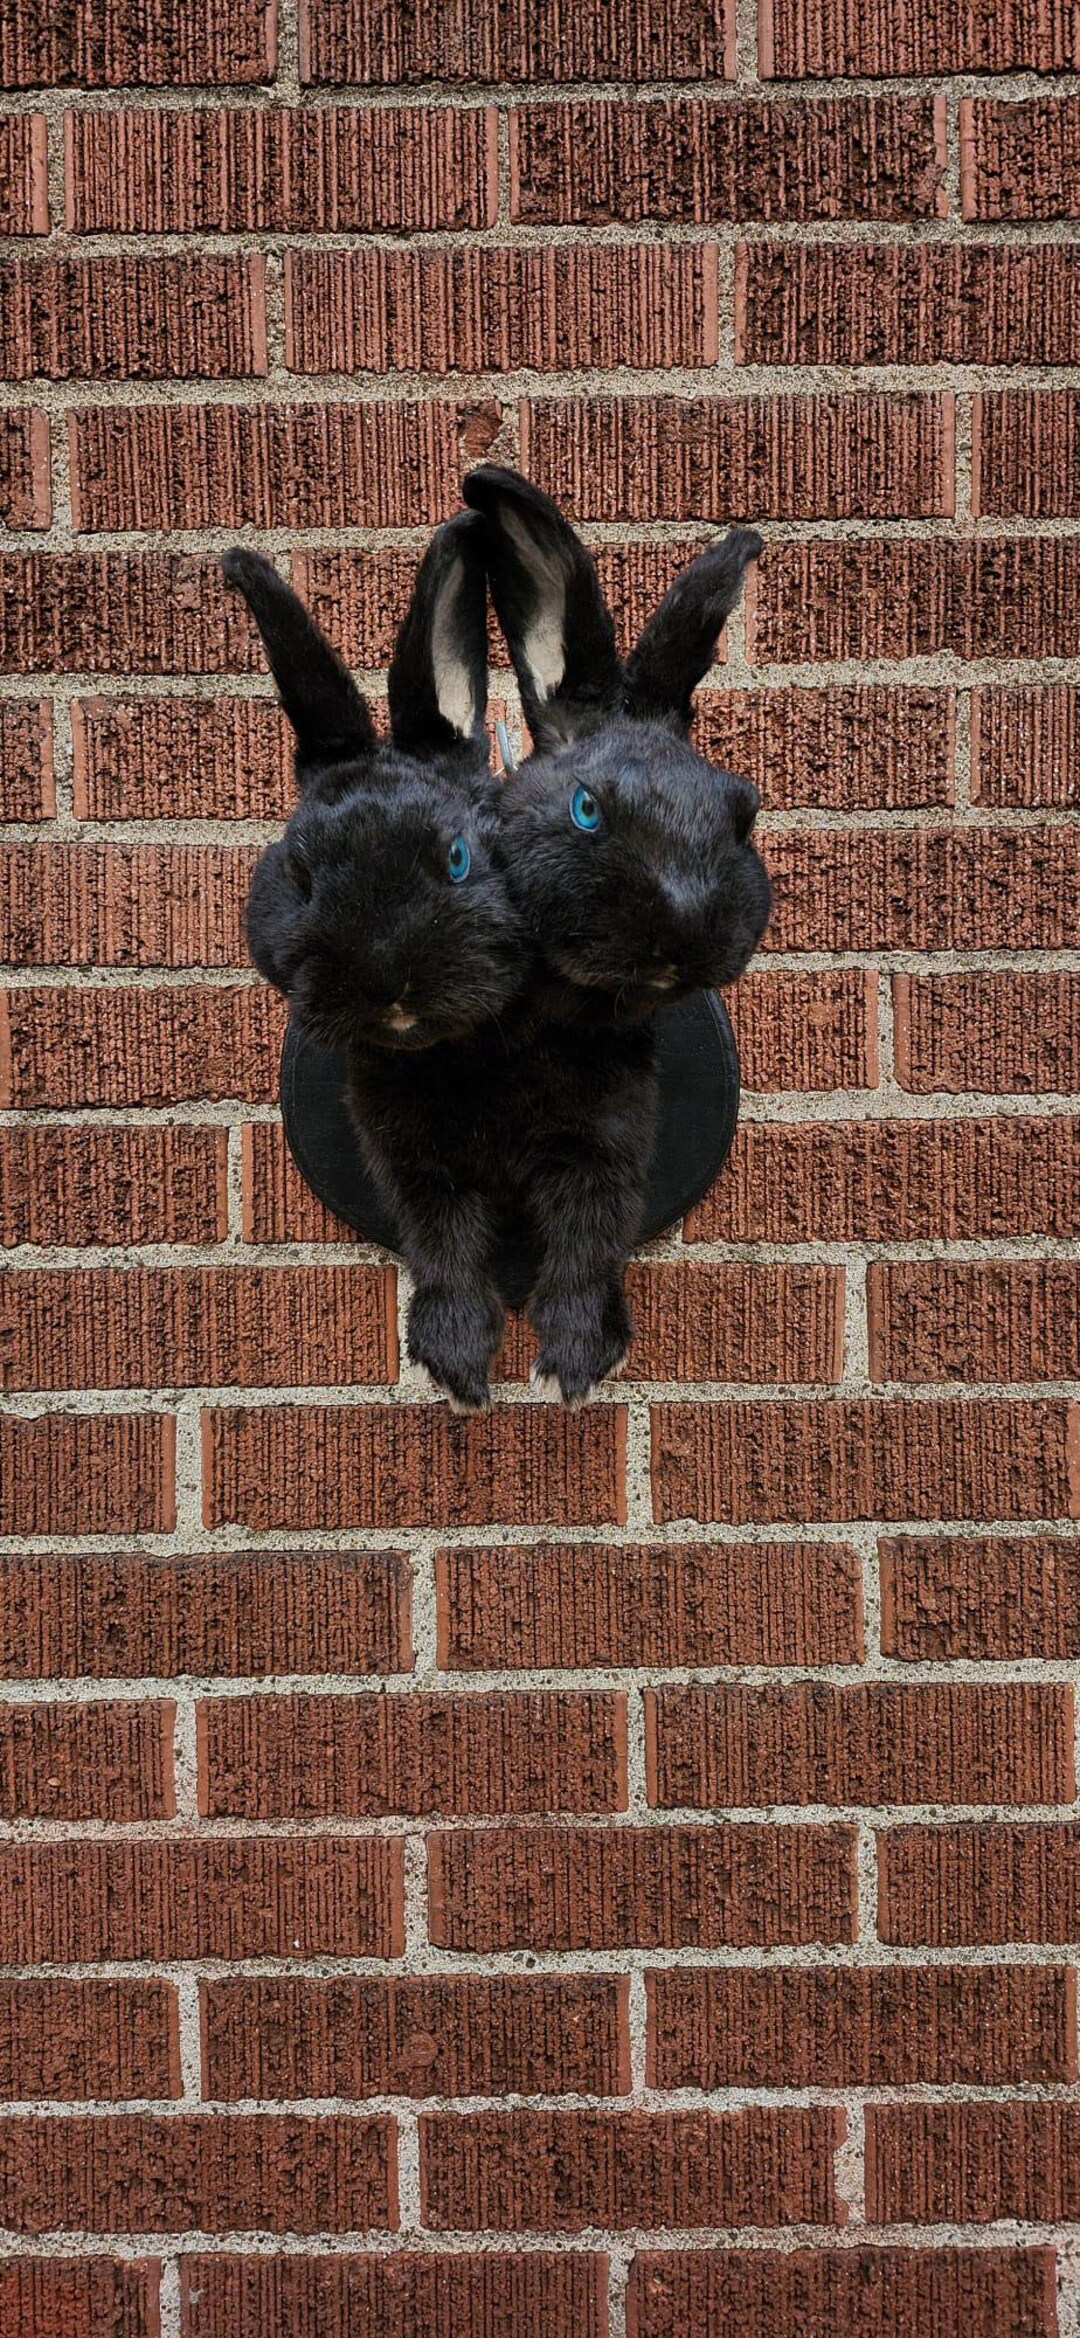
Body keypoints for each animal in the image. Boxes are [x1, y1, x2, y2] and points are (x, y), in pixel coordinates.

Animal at [222, 514, 530, 1412]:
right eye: (299, 875)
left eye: (458, 858)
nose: (387, 977)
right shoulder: (415, 1165)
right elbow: (444, 1243)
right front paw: (458, 1363)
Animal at [457, 464, 773, 1402]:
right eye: (588, 809)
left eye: (744, 810)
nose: (686, 931)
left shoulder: (610, 1134)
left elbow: (590, 1235)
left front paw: (578, 1358)